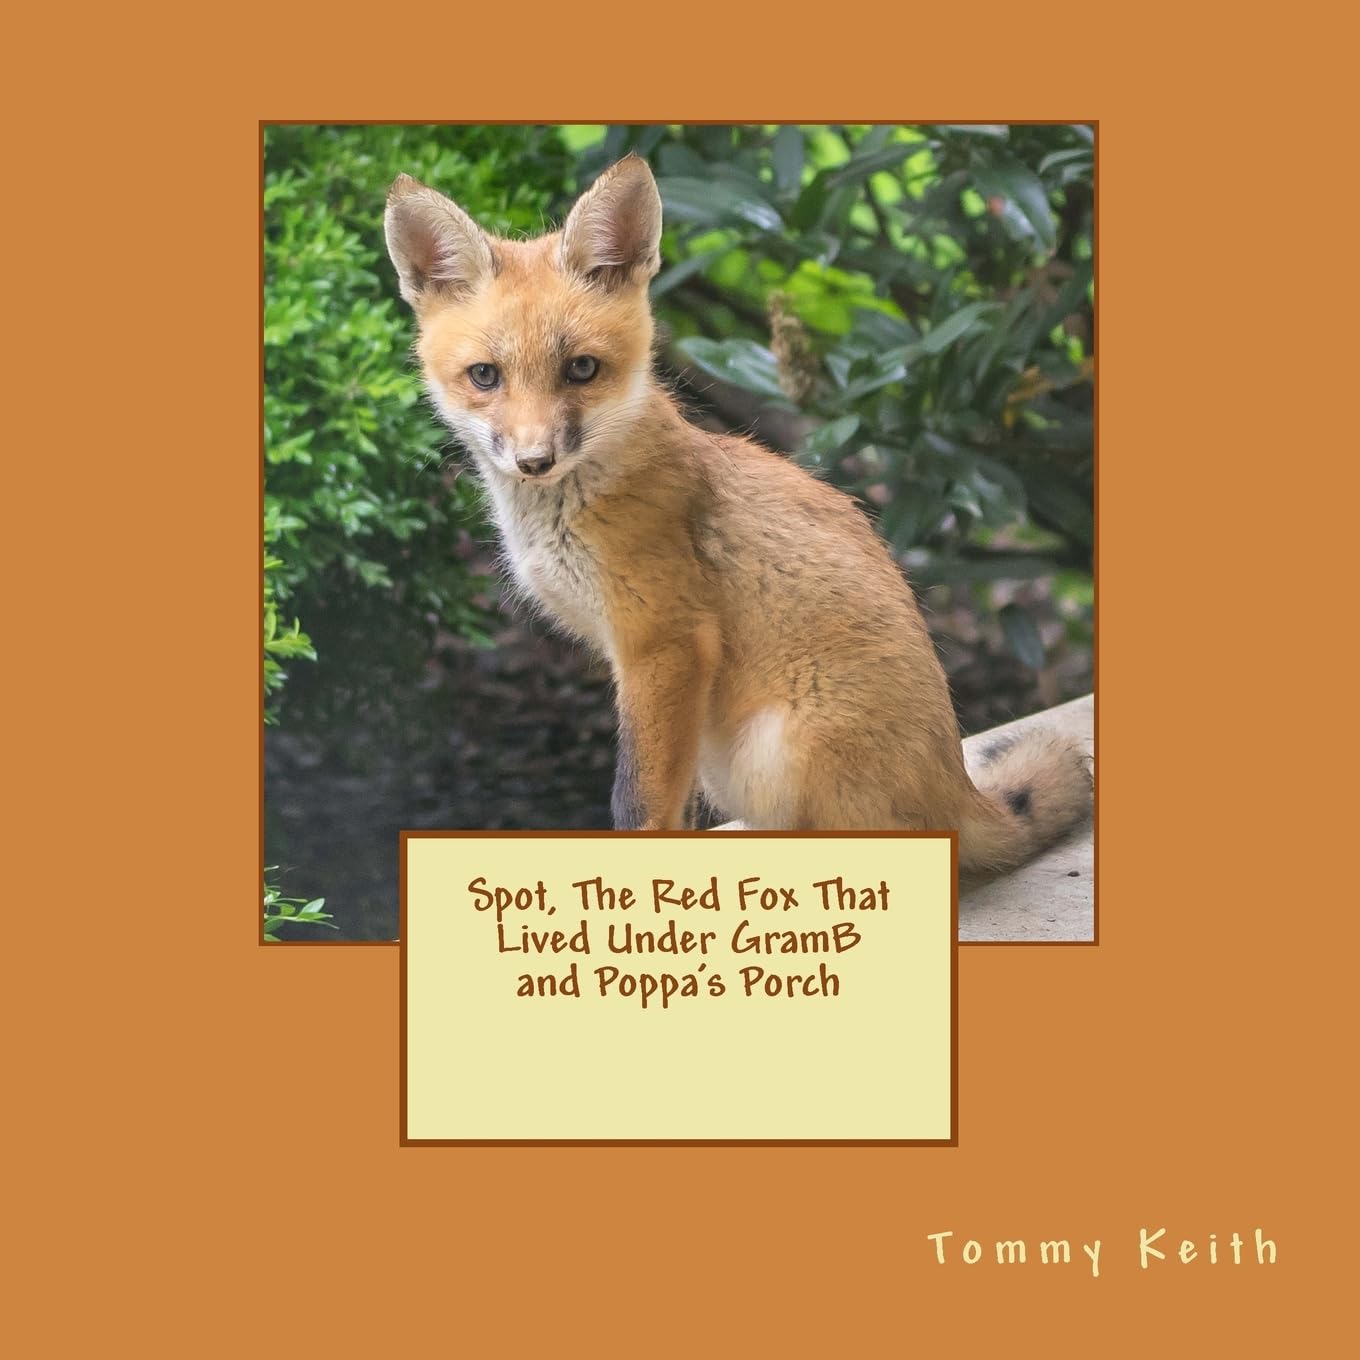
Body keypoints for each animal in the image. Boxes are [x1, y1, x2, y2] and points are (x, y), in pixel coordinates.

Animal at [384, 154, 1091, 870]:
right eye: (485, 376)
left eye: (581, 369)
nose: (534, 460)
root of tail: (957, 785)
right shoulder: (642, 666)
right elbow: (672, 810)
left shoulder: (665, 643)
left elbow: (638, 804)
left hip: (772, 750)